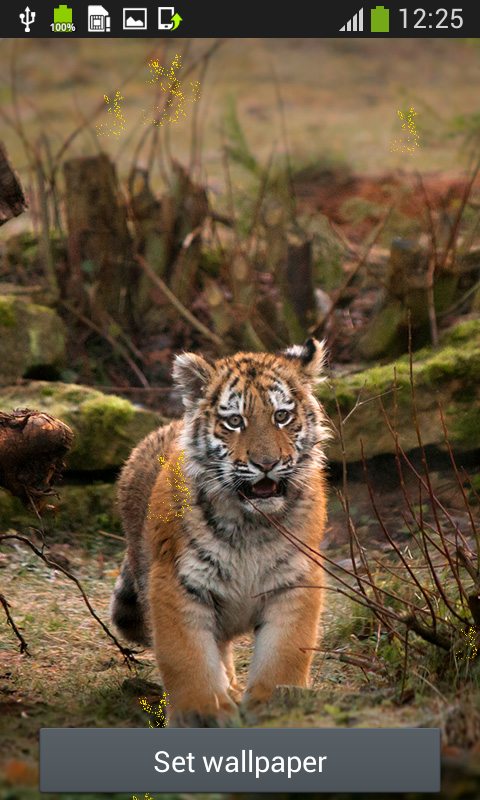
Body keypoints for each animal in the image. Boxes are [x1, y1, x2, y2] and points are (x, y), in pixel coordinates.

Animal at [110, 337, 330, 727]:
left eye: (282, 416)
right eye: (234, 421)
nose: (266, 463)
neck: (251, 525)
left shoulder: (295, 580)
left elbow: (286, 649)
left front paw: (274, 704)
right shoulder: (176, 582)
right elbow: (187, 656)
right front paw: (203, 712)